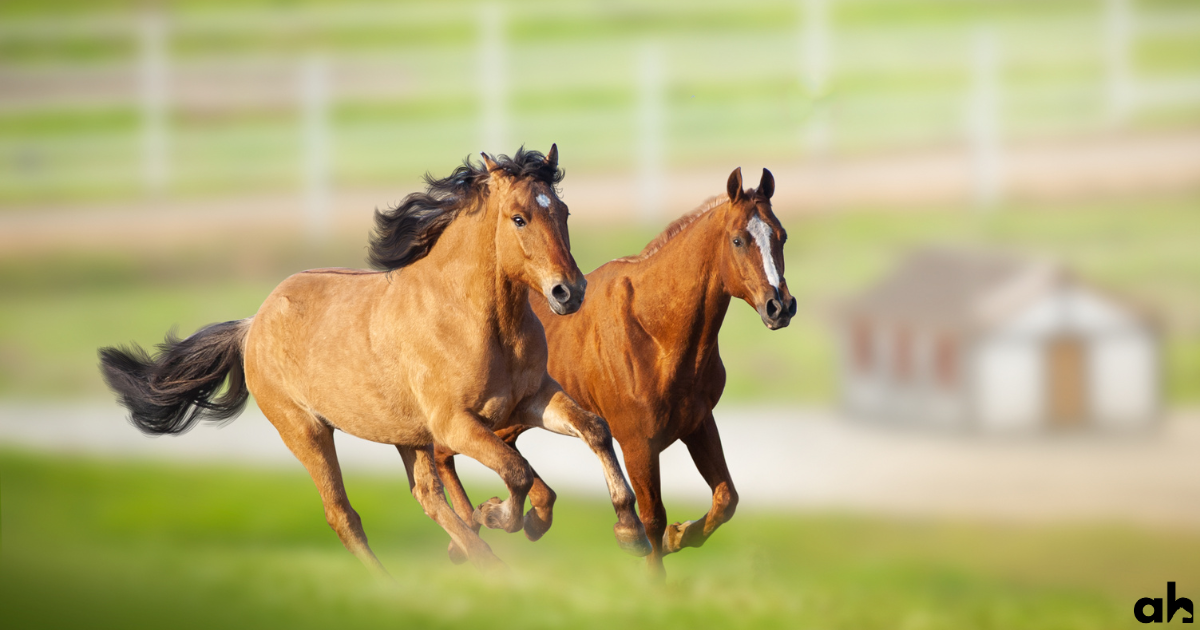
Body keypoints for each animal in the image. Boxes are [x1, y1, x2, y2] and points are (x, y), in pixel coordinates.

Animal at [99, 146, 651, 575]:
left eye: (563, 212)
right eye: (519, 218)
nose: (568, 292)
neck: (475, 319)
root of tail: (252, 325)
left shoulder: (530, 400)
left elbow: (593, 430)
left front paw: (628, 531)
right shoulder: (455, 425)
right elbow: (515, 472)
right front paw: (500, 514)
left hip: (405, 435)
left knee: (427, 497)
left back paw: (485, 562)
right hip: (308, 432)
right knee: (343, 514)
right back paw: (398, 582)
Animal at [434, 167, 794, 576]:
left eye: (781, 235)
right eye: (738, 239)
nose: (780, 306)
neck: (653, 331)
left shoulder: (698, 423)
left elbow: (725, 499)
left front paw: (679, 535)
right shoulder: (638, 442)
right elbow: (652, 517)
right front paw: (652, 565)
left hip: (512, 417)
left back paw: (517, 519)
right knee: (443, 453)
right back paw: (471, 532)